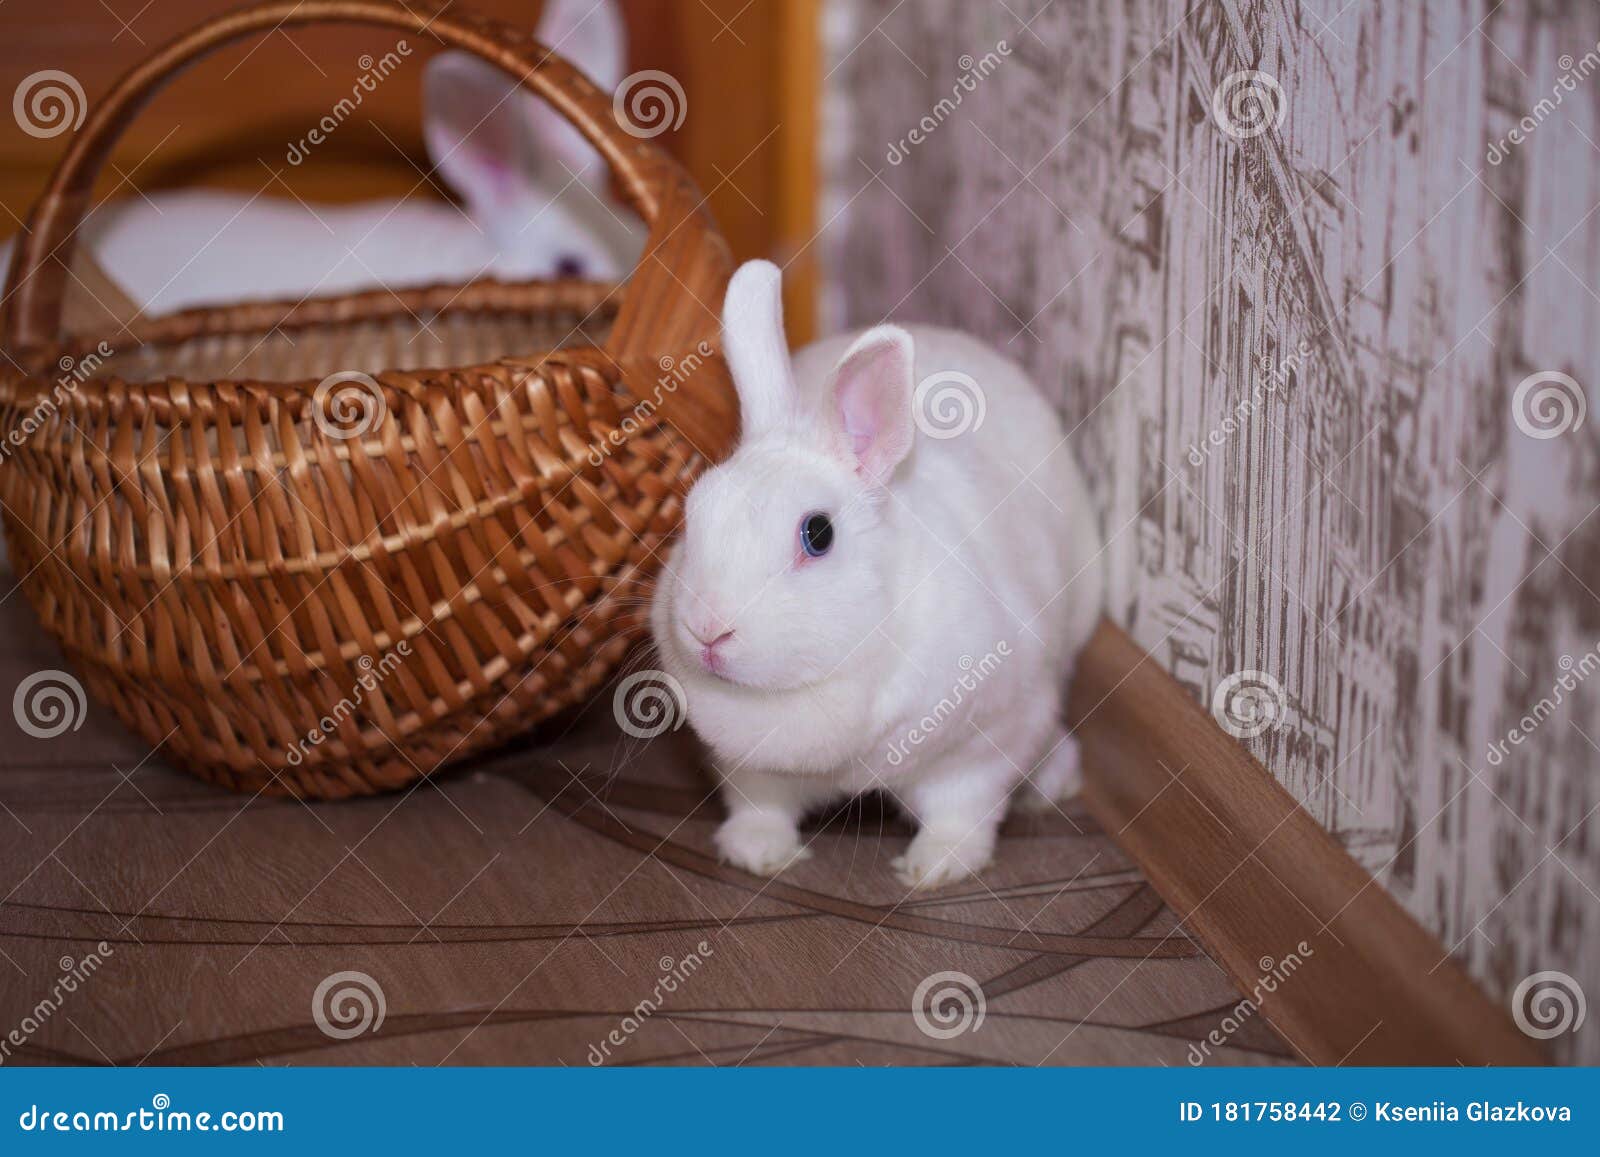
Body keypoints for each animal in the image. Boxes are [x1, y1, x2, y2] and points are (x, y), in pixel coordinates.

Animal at [648, 260, 1105, 890]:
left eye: (818, 534)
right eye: (692, 513)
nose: (707, 629)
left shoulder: (985, 741)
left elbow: (964, 806)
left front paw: (937, 866)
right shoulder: (745, 765)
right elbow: (758, 803)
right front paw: (755, 852)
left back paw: (1055, 780)